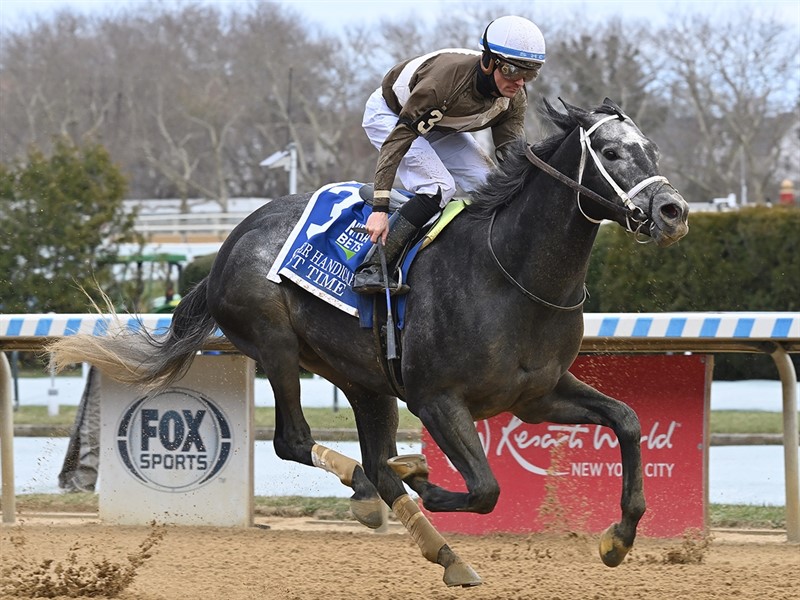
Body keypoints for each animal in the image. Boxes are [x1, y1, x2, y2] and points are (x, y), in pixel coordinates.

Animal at [50, 97, 689, 587]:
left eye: (653, 149)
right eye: (611, 152)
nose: (672, 210)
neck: (510, 273)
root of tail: (228, 246)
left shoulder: (537, 396)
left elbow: (628, 420)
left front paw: (619, 537)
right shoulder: (437, 399)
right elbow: (483, 488)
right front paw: (423, 474)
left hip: (364, 379)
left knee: (373, 461)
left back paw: (443, 552)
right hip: (277, 346)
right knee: (298, 441)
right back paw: (371, 491)